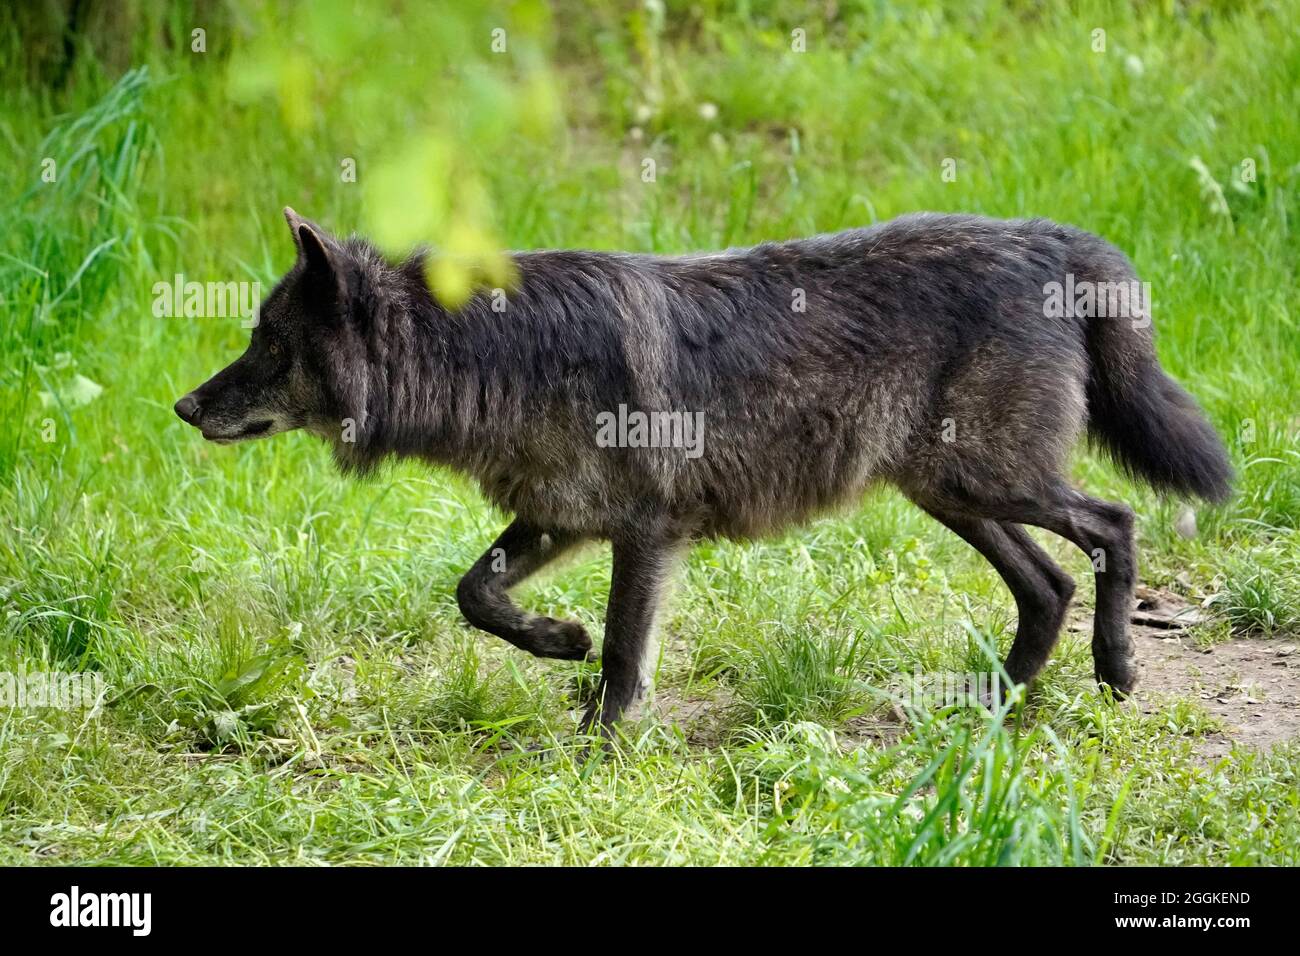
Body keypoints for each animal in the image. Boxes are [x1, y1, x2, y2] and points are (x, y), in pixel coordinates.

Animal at [175, 208, 1232, 736]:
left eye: (267, 343)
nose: (183, 407)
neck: (497, 353)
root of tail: (1052, 236)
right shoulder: (559, 516)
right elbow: (475, 593)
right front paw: (554, 640)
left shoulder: (646, 530)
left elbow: (621, 652)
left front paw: (601, 744)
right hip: (947, 490)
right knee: (1046, 583)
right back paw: (991, 705)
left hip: (983, 480)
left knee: (1114, 525)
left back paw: (1115, 669)